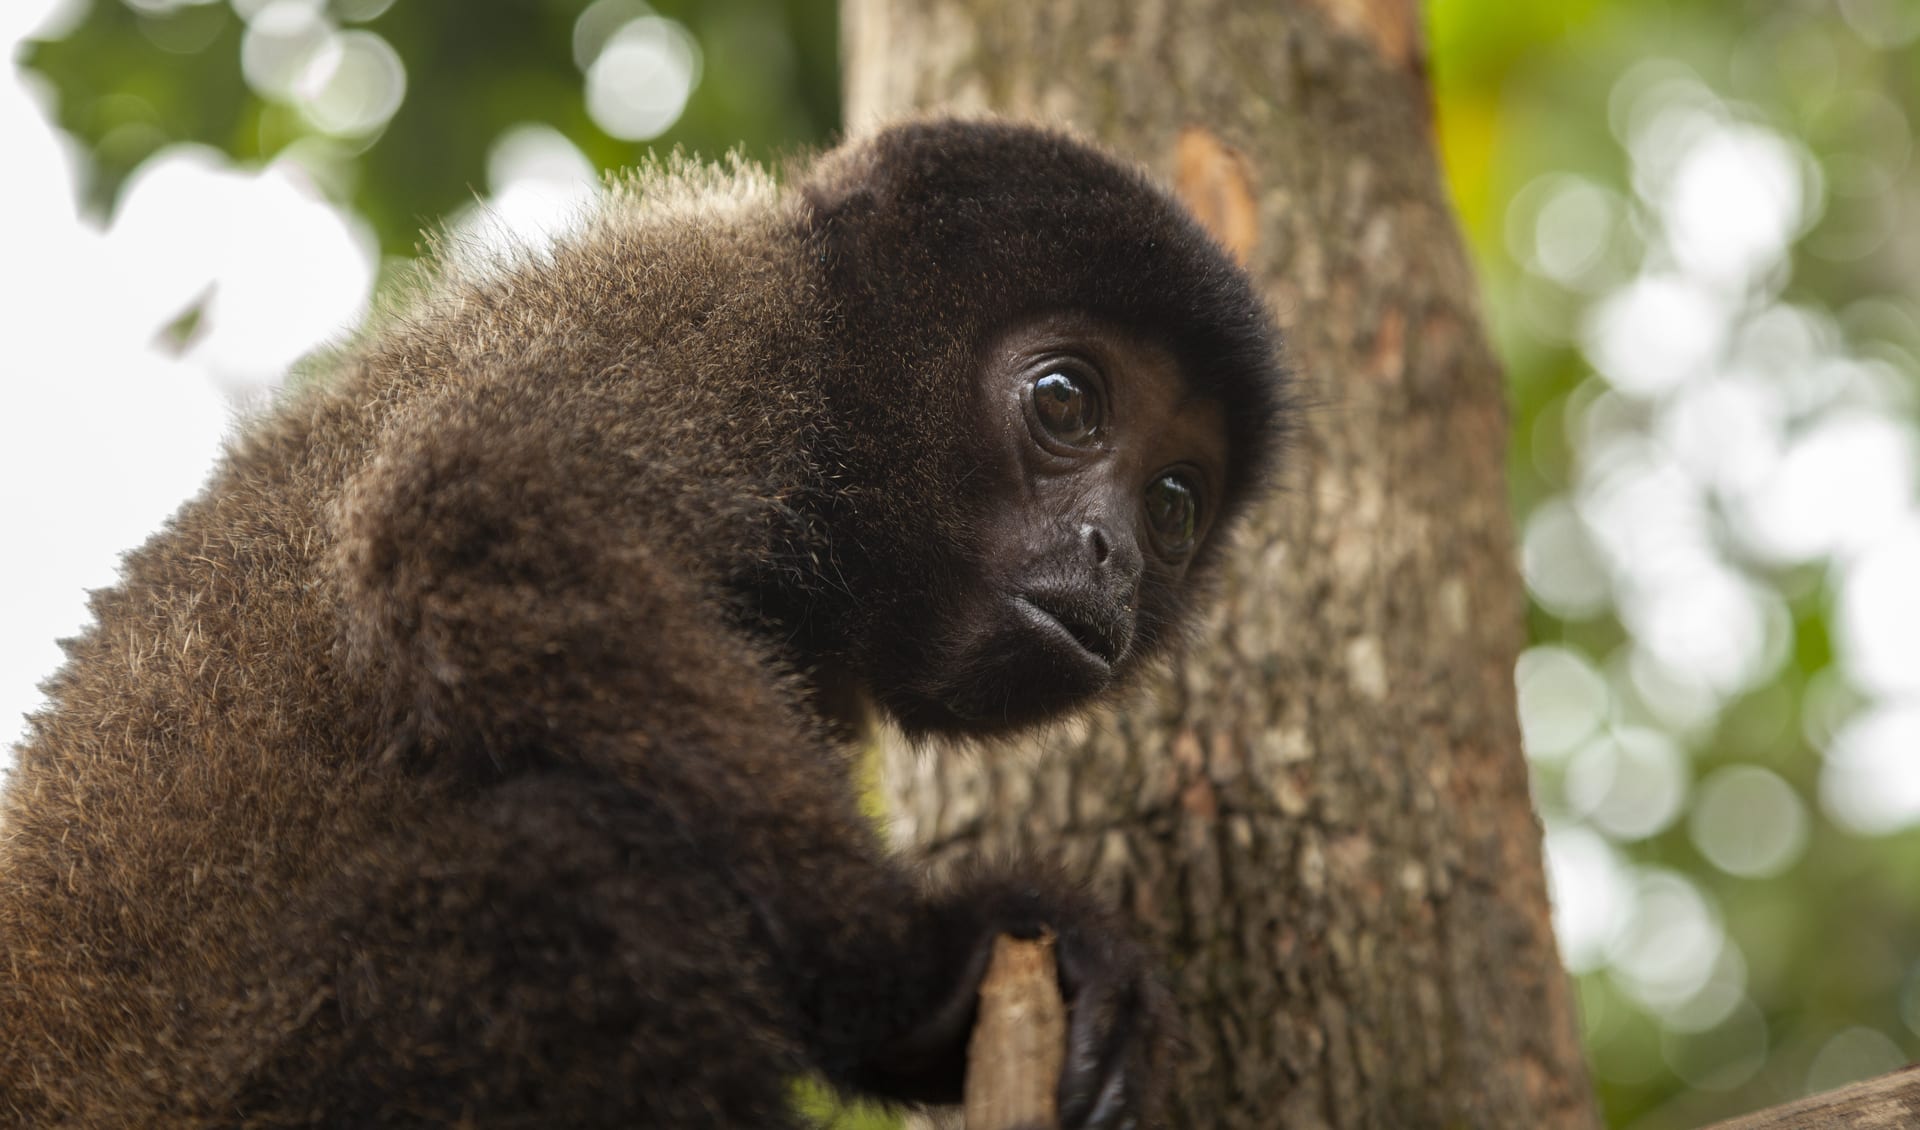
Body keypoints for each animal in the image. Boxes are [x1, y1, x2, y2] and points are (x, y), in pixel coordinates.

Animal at [0, 118, 1287, 1128]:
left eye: (1176, 502)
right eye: (1066, 399)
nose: (1115, 553)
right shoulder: (712, 321)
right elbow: (483, 510)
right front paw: (925, 962)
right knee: (579, 864)